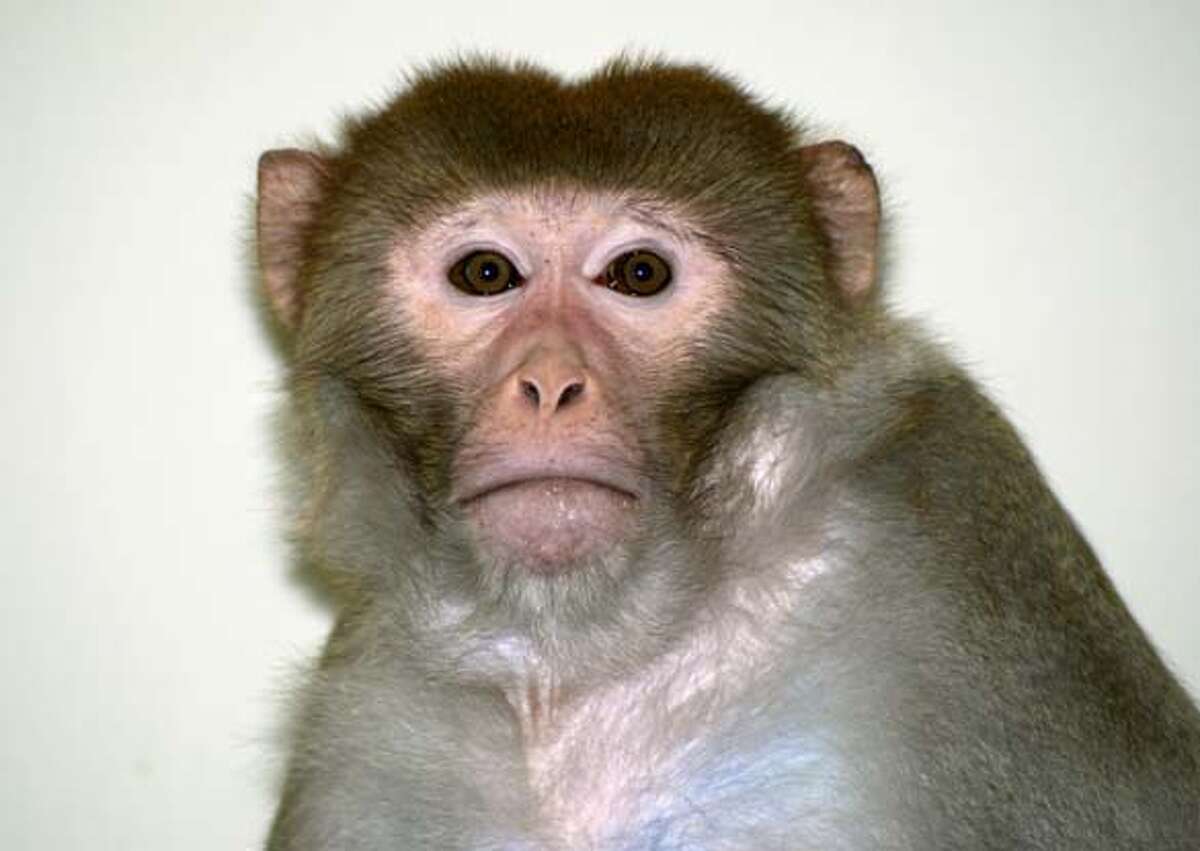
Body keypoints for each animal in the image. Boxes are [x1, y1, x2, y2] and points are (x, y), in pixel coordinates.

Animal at [255, 57, 1200, 850]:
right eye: (486, 274)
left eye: (638, 274)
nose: (552, 383)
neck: (578, 662)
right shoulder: (364, 697)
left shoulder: (959, 549)